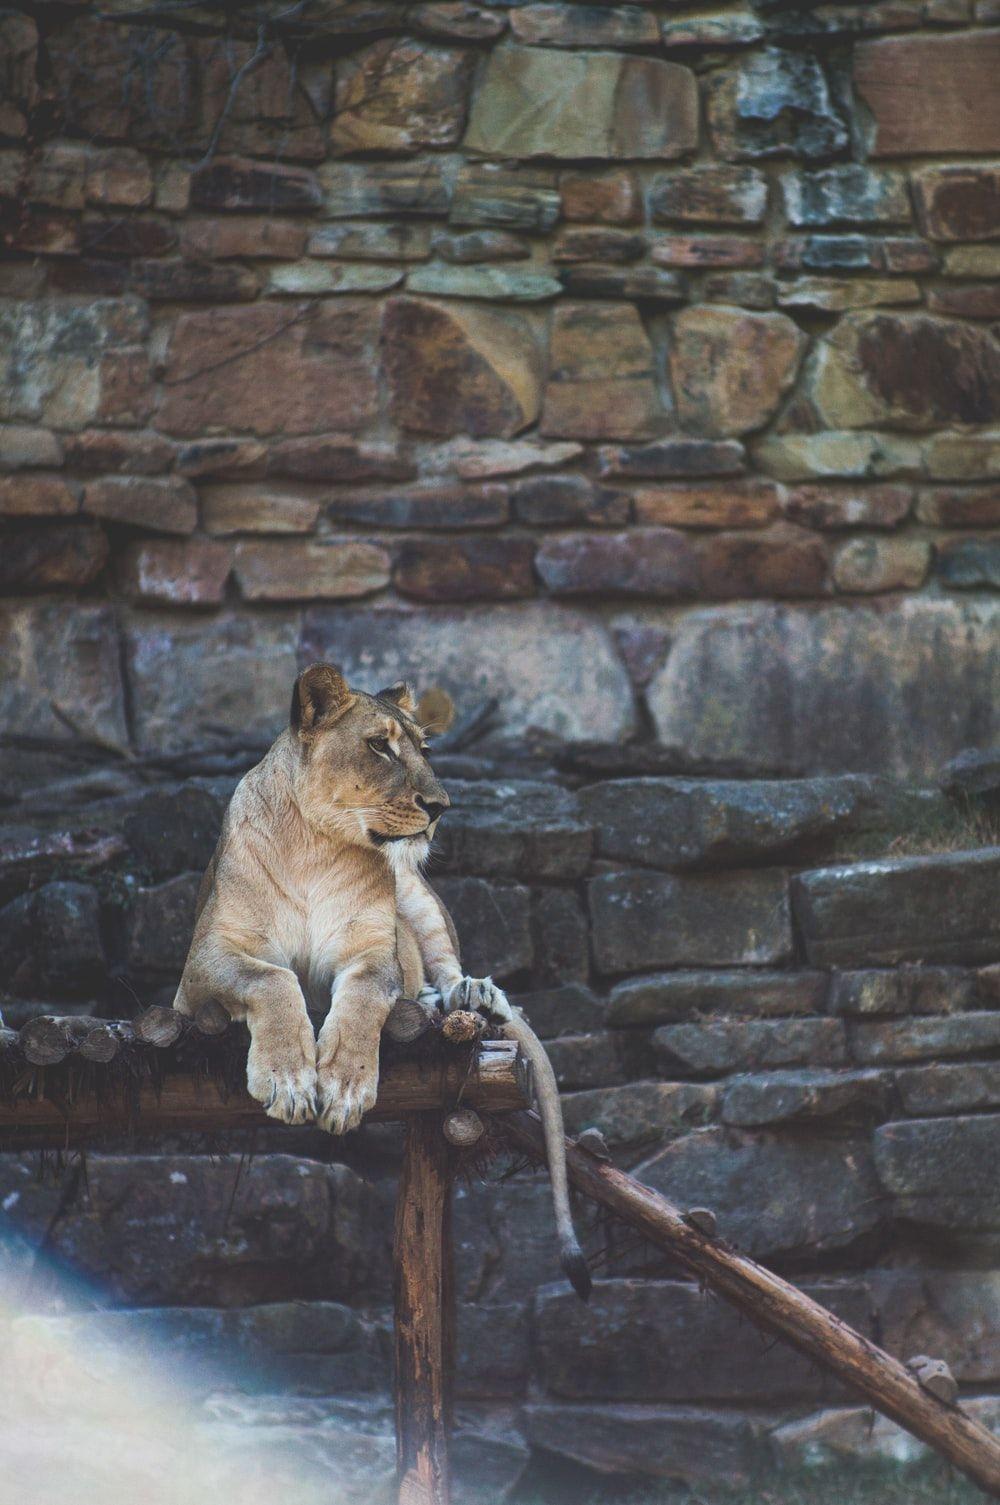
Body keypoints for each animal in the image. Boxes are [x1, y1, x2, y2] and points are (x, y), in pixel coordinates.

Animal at [173, 663, 590, 1298]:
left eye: (423, 748)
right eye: (379, 746)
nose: (441, 805)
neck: (314, 847)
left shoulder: (375, 953)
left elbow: (365, 1000)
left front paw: (344, 1087)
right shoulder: (203, 963)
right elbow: (273, 979)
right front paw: (289, 1080)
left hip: (415, 893)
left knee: (444, 966)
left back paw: (473, 995)